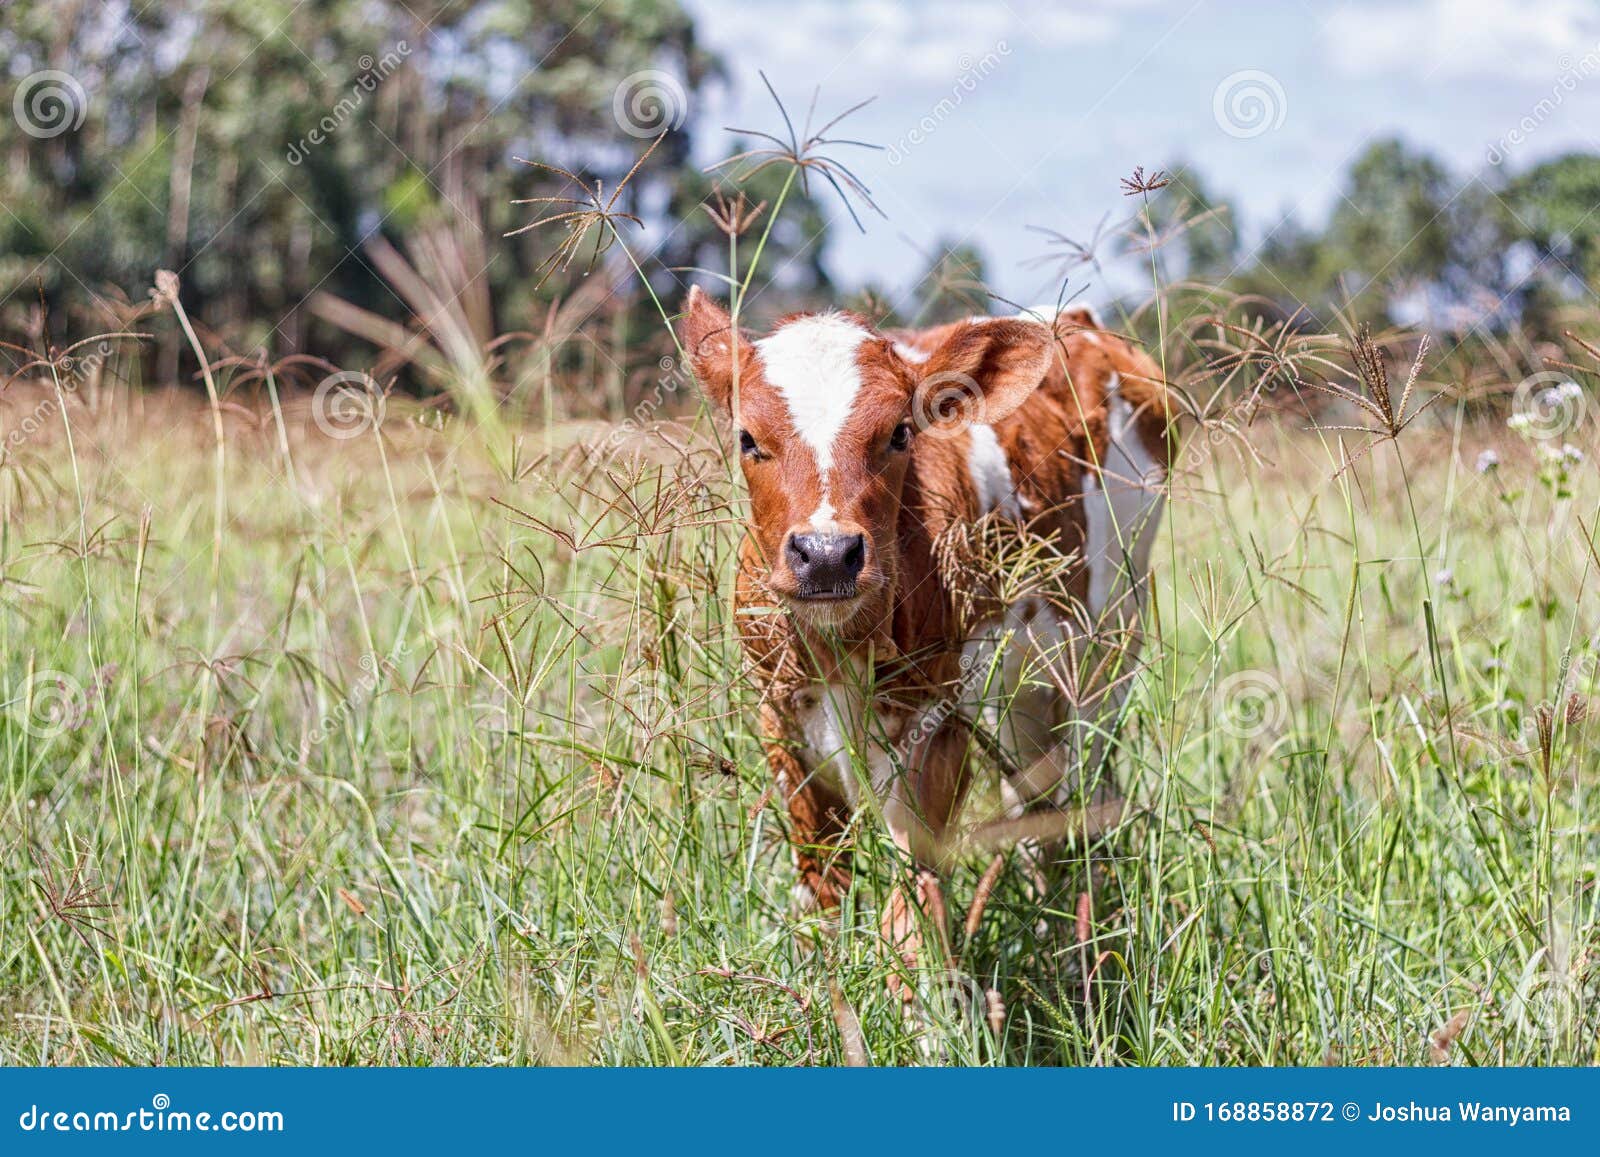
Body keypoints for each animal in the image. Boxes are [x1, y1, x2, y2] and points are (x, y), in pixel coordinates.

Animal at [680, 287, 1175, 997]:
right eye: (748, 438)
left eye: (899, 433)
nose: (826, 555)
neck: (846, 648)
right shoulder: (781, 723)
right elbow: (823, 888)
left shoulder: (938, 724)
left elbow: (913, 902)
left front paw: (929, 1013)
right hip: (1027, 697)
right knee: (1036, 805)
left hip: (1105, 652)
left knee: (1073, 803)